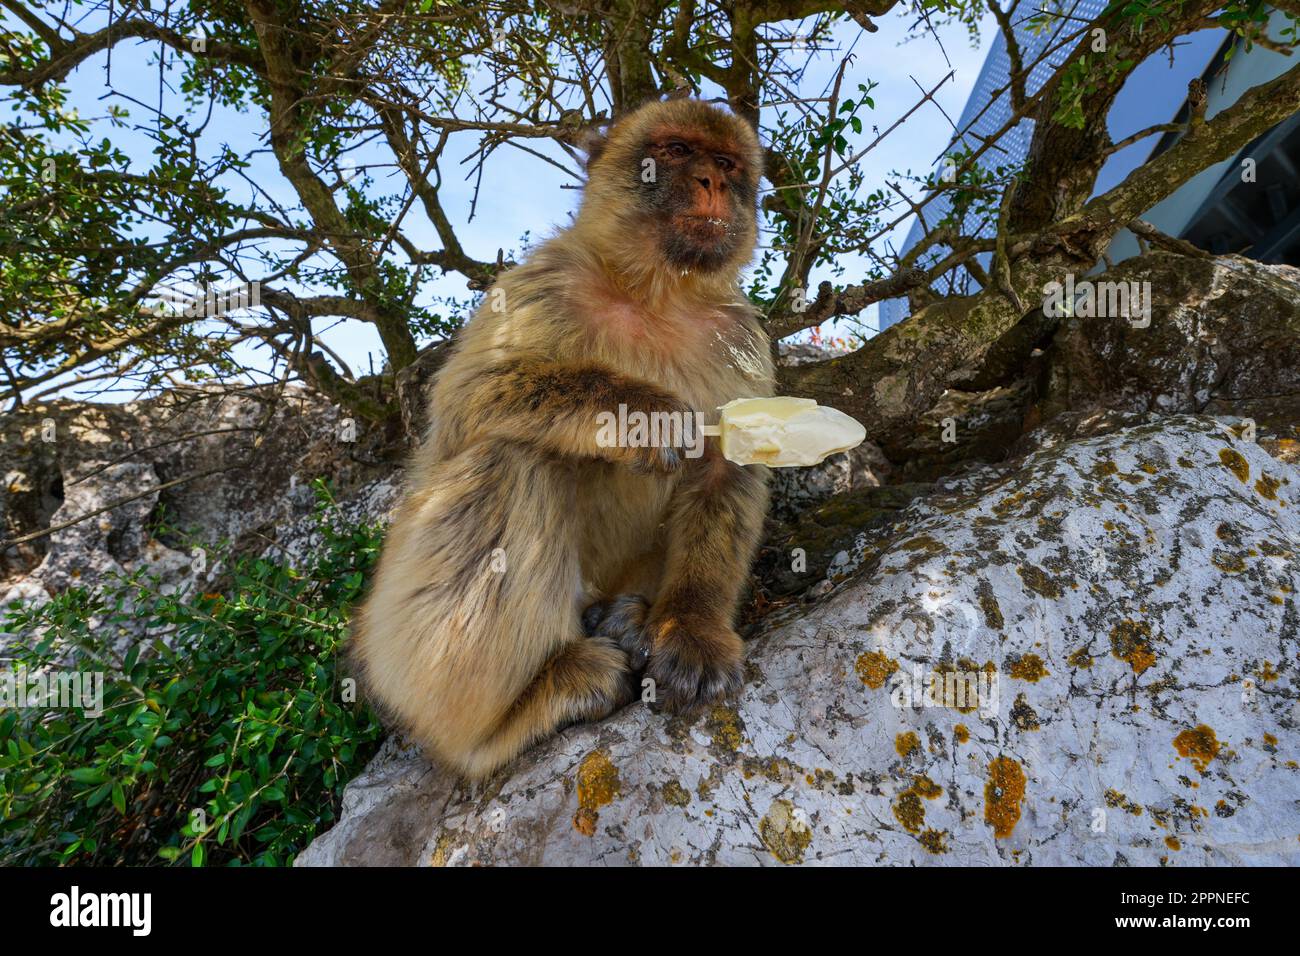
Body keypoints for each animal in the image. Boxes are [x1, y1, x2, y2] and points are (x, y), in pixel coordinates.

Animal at [350, 98, 774, 781]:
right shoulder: (539, 281)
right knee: (508, 459)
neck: (655, 292)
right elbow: (461, 406)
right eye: (678, 151)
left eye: (728, 163)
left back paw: (629, 620)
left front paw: (691, 629)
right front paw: (641, 412)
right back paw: (509, 715)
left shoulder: (741, 337)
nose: (712, 181)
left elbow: (725, 469)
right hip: (396, 636)